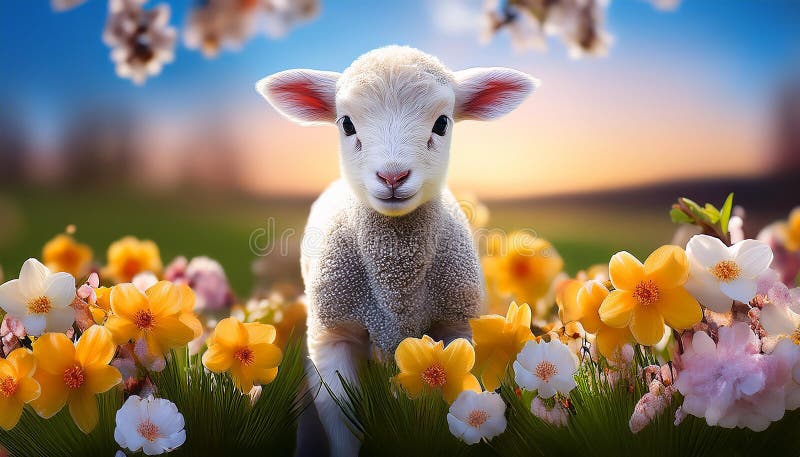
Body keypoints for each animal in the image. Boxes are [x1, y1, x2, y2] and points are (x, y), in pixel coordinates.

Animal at [256, 45, 537, 456]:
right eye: (346, 124)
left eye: (442, 123)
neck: (396, 282)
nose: (392, 176)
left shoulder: (455, 327)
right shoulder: (333, 335)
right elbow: (341, 414)